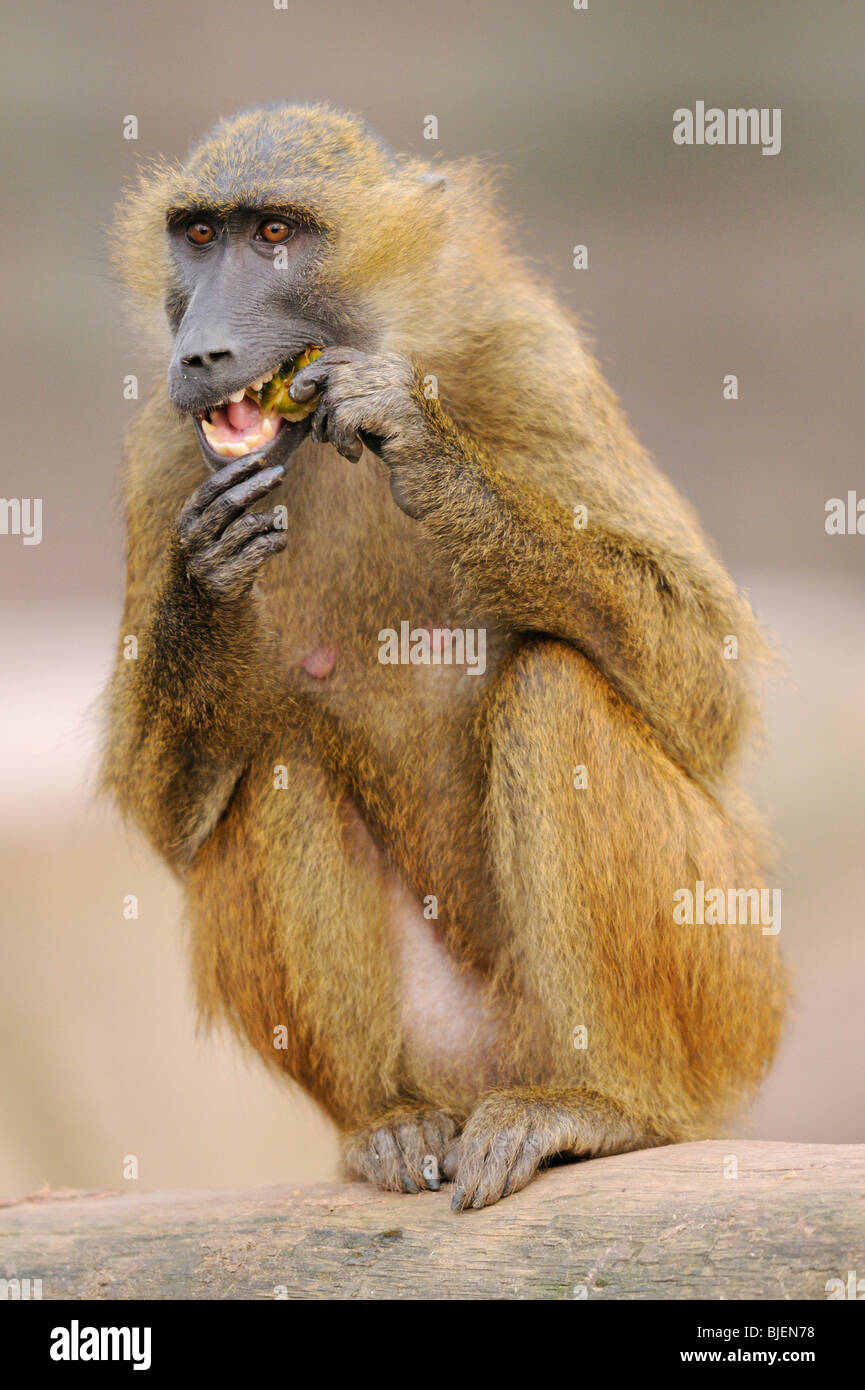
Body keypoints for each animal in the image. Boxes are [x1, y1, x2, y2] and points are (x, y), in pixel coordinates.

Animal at [102, 104, 786, 1211]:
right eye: (199, 235)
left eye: (276, 234)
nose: (202, 352)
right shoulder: (163, 458)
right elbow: (164, 811)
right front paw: (206, 581)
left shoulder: (527, 356)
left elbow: (705, 682)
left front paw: (426, 454)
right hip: (445, 1048)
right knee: (279, 766)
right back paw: (388, 1125)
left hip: (724, 997)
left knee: (553, 686)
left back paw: (605, 1107)